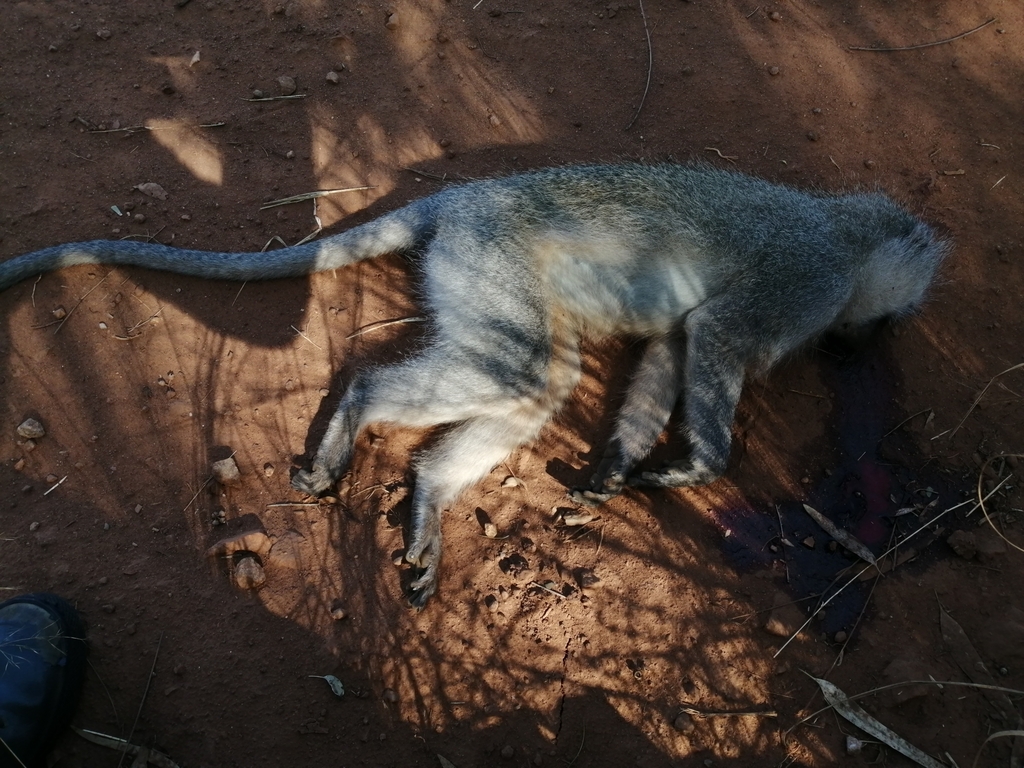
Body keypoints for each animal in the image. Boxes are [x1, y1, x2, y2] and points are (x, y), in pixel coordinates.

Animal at [0, 164, 948, 606]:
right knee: (514, 371)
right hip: (491, 265)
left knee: (536, 384)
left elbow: (670, 353)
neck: (846, 231)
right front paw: (692, 469)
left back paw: (426, 498)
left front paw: (616, 470)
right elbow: (713, 335)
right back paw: (358, 416)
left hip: (476, 275)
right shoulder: (802, 283)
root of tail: (461, 201)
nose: (866, 345)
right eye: (887, 319)